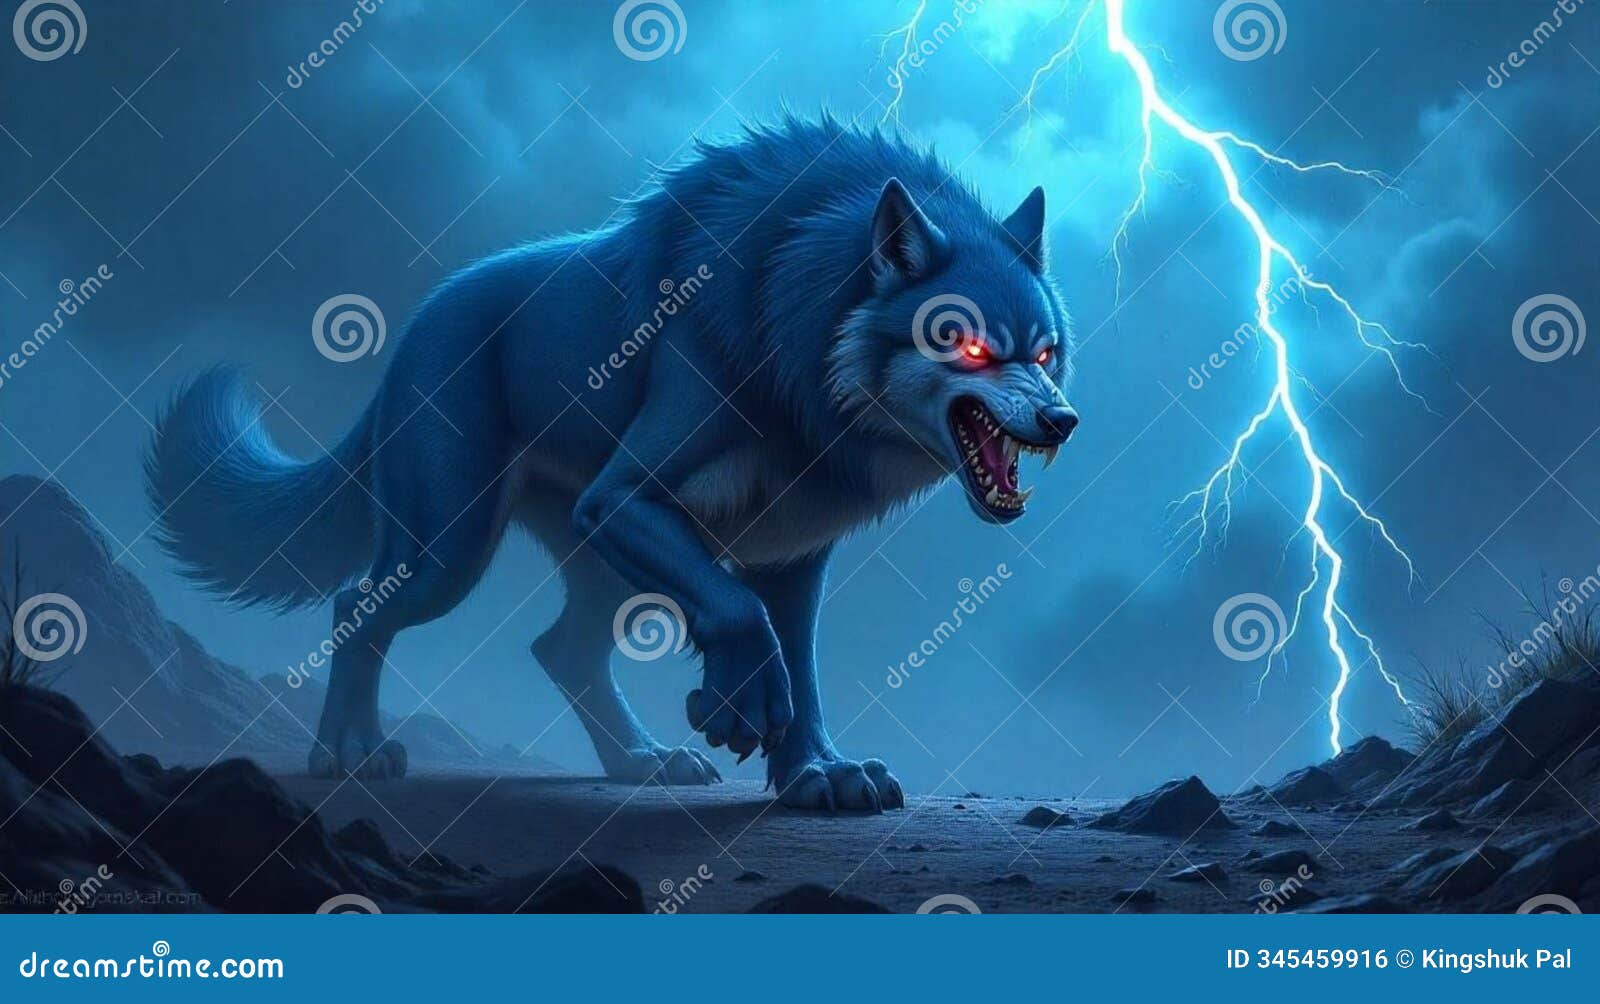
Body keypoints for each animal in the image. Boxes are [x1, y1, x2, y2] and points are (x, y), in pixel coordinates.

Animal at [146, 116, 1078, 811]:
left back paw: (644, 763)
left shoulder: (794, 552)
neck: (791, 334)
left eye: (1044, 351)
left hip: (591, 567)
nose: (1062, 420)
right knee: (356, 606)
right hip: (451, 552)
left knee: (561, 650)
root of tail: (414, 324)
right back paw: (350, 753)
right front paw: (739, 706)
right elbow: (744, 616)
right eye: (968, 345)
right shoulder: (624, 497)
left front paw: (817, 773)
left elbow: (802, 663)